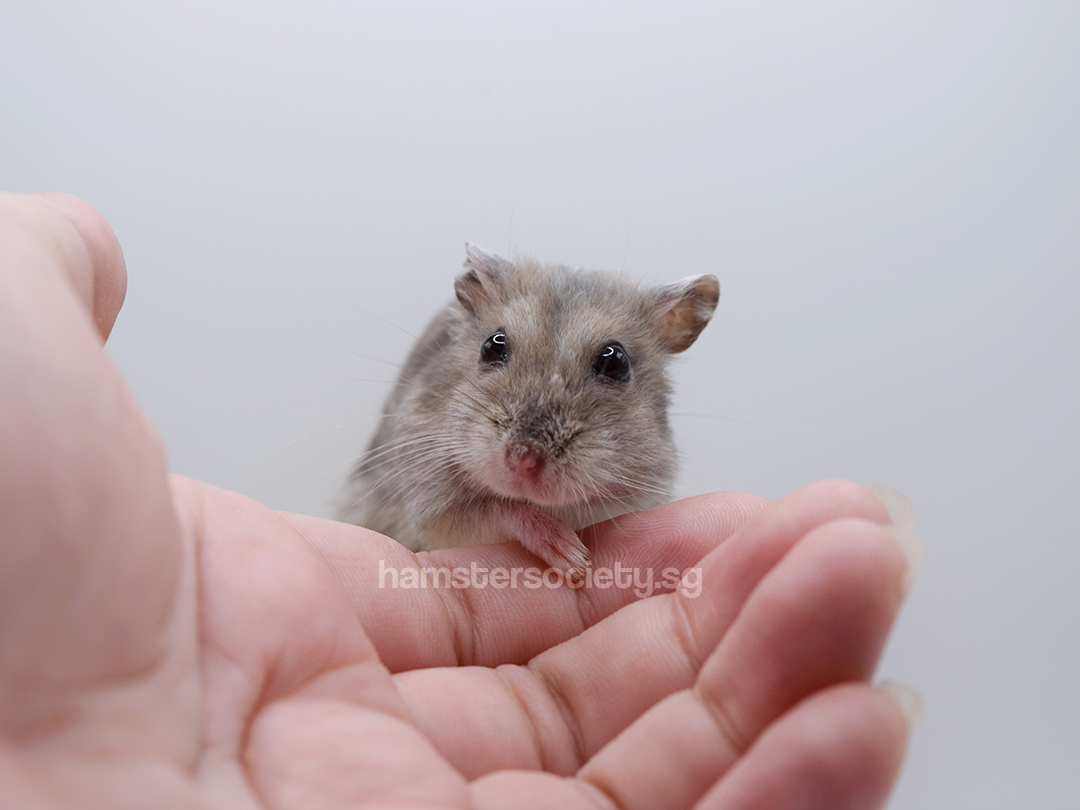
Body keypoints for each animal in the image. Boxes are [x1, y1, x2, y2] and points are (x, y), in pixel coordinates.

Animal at [339, 244, 719, 580]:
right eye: (492, 345)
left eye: (617, 362)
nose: (524, 462)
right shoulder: (429, 500)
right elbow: (500, 508)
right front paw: (570, 556)